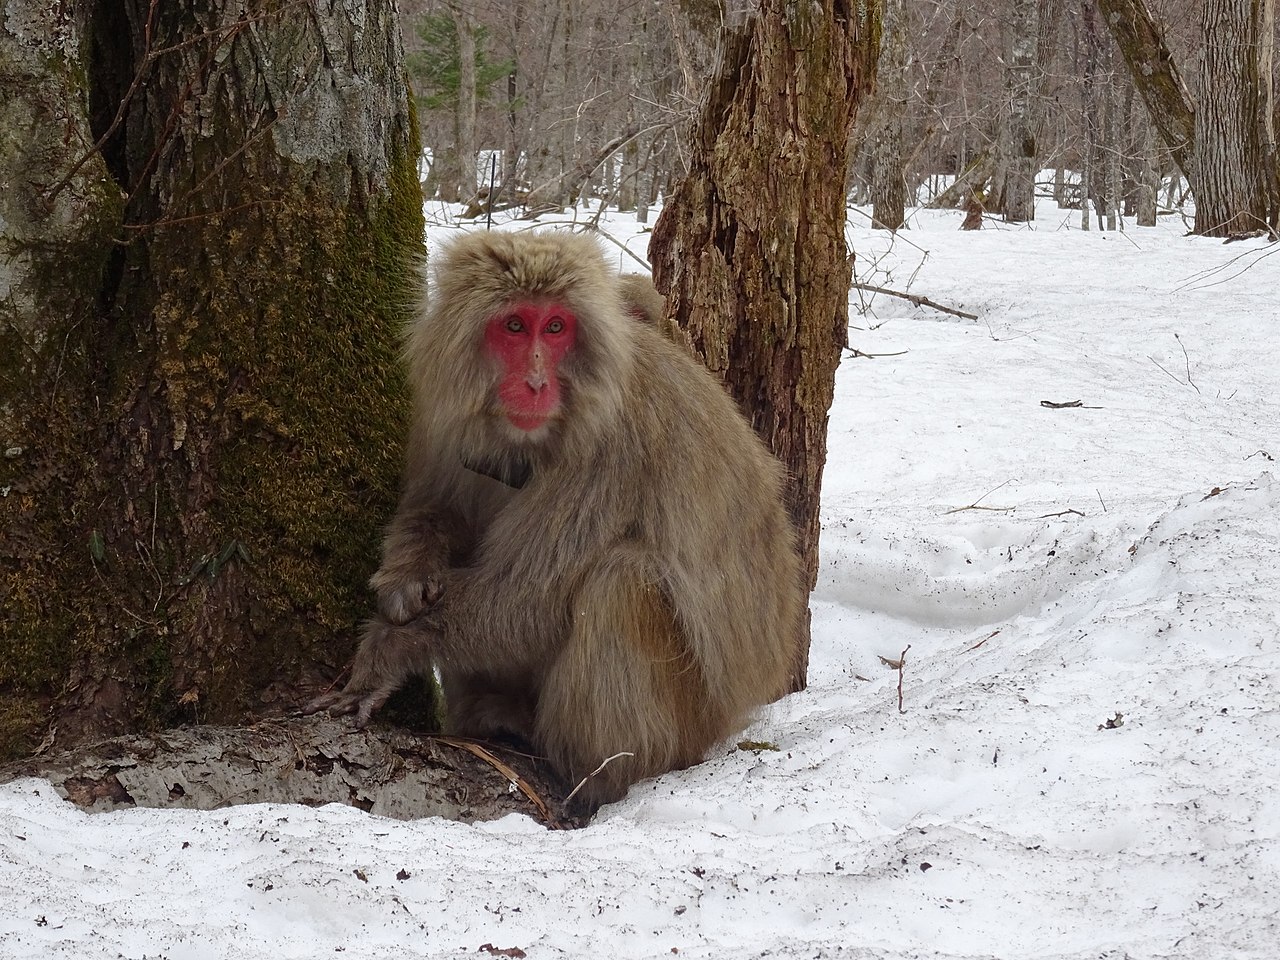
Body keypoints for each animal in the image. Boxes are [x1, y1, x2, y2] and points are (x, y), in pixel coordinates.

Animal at [307, 230, 805, 808]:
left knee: (622, 582)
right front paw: (407, 573)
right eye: (515, 326)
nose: (537, 383)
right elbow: (440, 508)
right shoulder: (443, 418)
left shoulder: (609, 449)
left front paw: (387, 651)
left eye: (556, 327)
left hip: (691, 724)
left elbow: (528, 599)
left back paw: (590, 771)